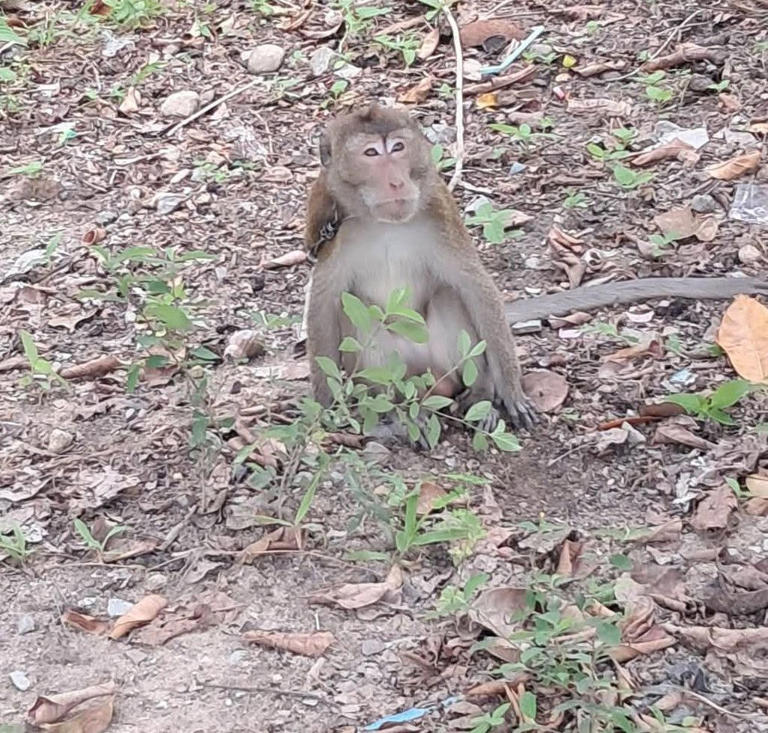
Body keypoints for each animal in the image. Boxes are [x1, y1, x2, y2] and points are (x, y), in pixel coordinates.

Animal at [304, 104, 535, 433]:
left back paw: (479, 394)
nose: (397, 182)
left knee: (448, 295)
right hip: (396, 370)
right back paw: (402, 410)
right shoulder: (332, 229)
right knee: (361, 314)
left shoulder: (438, 212)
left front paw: (511, 390)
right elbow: (324, 304)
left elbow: (474, 286)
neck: (384, 224)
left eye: (398, 148)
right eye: (371, 153)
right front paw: (325, 406)